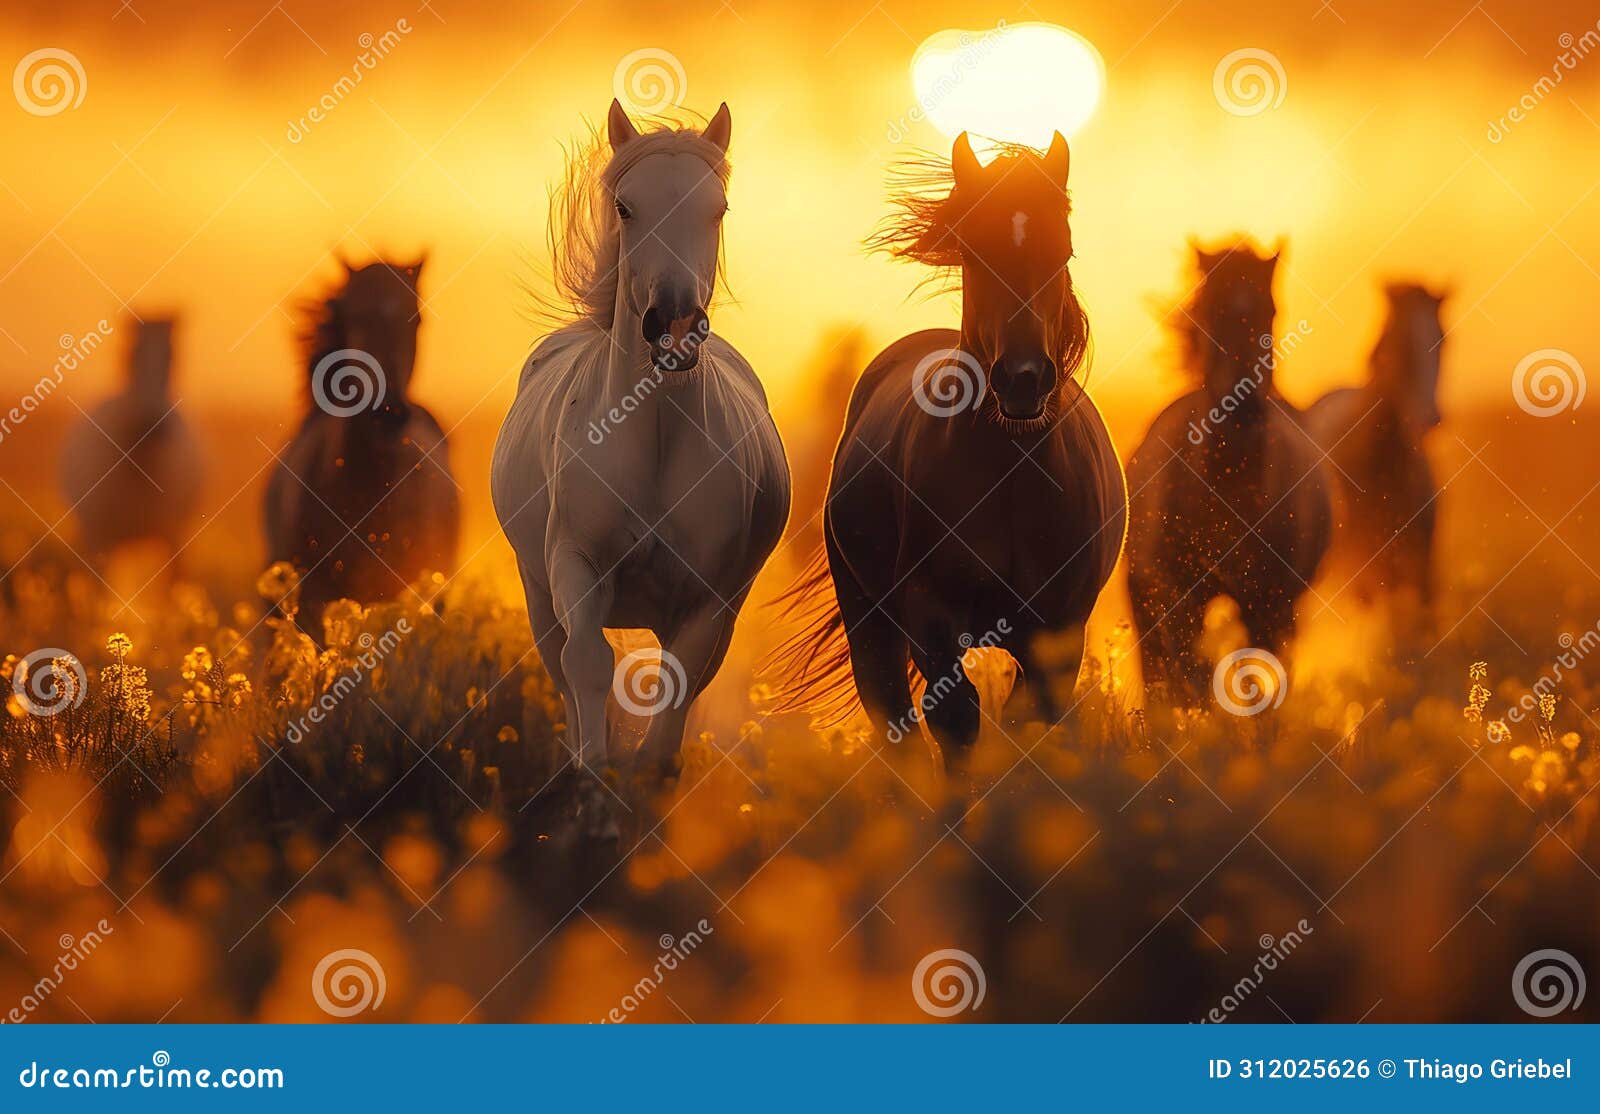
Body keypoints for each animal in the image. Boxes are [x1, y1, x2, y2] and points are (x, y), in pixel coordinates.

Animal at [489, 100, 790, 791]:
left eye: (718, 208)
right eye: (626, 207)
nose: (673, 323)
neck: (651, 441)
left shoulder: (708, 598)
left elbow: (678, 686)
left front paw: (650, 775)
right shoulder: (574, 564)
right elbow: (588, 661)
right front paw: (593, 776)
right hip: (536, 589)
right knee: (561, 664)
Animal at [772, 132, 1126, 770]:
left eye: (1063, 252)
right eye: (973, 251)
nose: (1023, 379)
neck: (1011, 476)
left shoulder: (1059, 635)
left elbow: (1026, 722)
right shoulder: (932, 626)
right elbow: (958, 724)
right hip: (869, 624)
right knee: (895, 718)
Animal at [1125, 241, 1331, 701]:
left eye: (1271, 309)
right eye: (1209, 308)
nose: (1243, 407)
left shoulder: (1270, 605)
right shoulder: (1177, 599)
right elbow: (1191, 677)